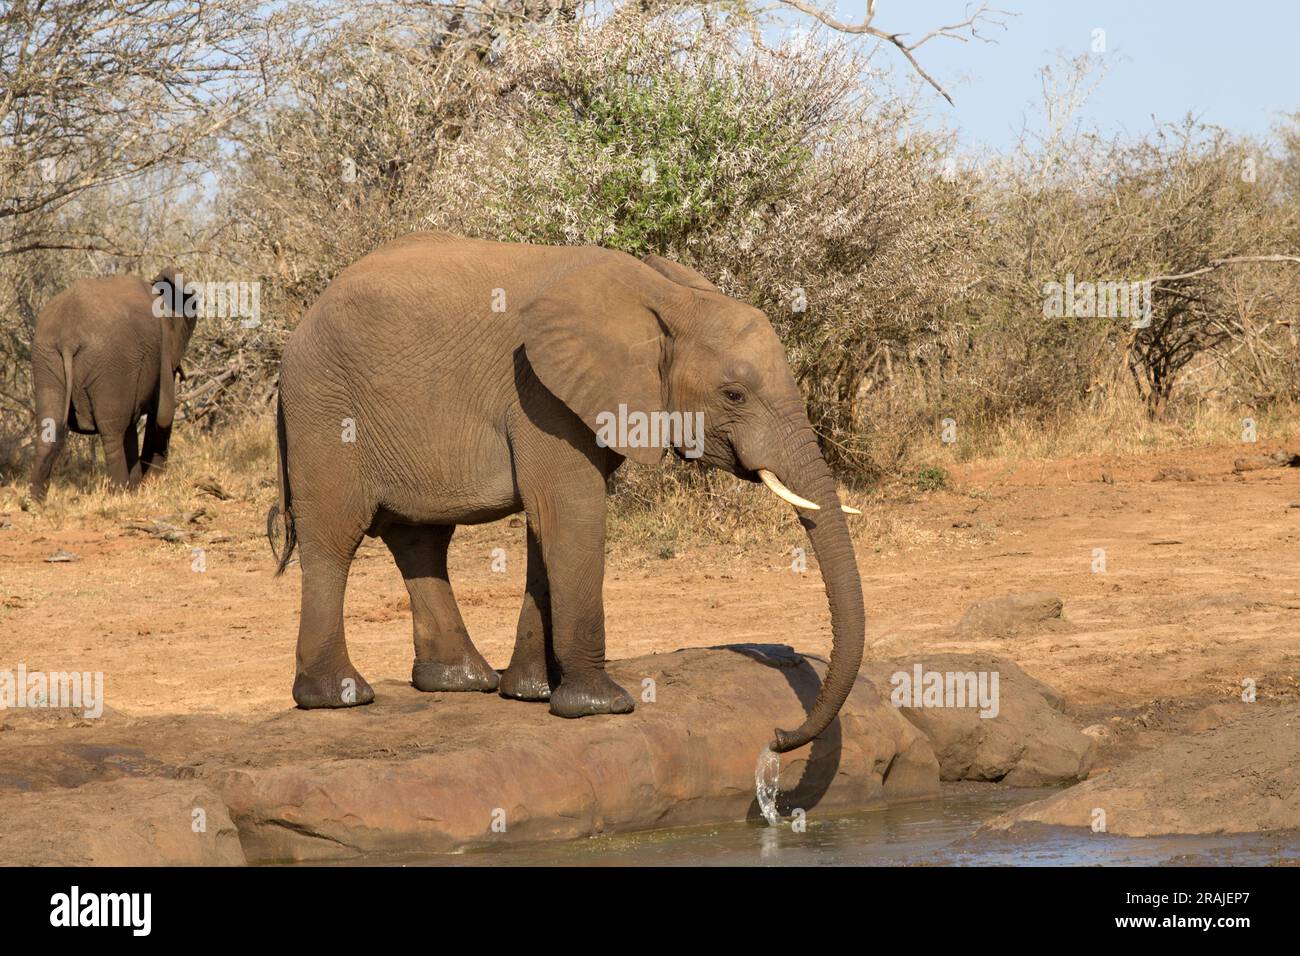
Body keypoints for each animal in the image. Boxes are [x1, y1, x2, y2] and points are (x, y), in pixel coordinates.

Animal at [28, 268, 197, 502]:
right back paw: (120, 492)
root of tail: (68, 338)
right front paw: (145, 484)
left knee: (49, 424)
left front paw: (140, 484)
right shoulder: (162, 346)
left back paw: (33, 501)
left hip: (46, 357)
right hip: (111, 364)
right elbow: (164, 414)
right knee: (112, 429)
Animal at [268, 231, 864, 753]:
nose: (778, 737)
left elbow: (546, 530)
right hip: (325, 408)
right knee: (335, 539)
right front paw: (601, 707)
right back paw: (339, 698)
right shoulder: (539, 395)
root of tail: (297, 332)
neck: (665, 300)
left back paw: (462, 682)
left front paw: (532, 694)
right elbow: (571, 517)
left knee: (421, 540)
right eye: (734, 394)